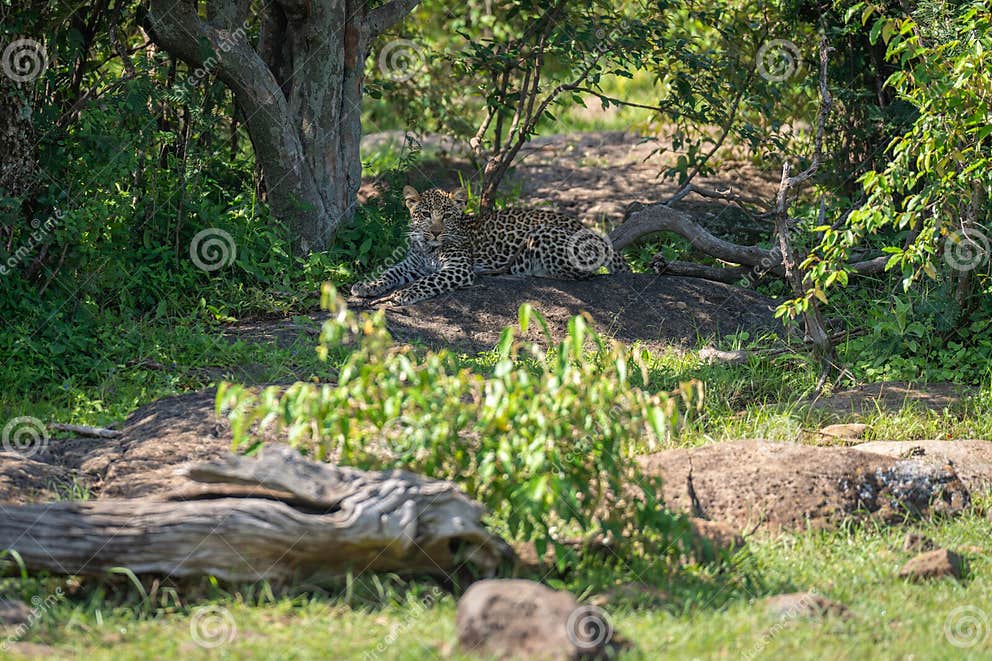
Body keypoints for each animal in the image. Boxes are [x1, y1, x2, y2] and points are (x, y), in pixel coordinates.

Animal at [351, 185, 627, 305]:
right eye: (426, 214)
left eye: (447, 216)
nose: (436, 232)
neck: (428, 248)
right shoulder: (411, 265)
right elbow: (388, 272)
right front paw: (366, 285)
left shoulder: (458, 269)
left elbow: (428, 280)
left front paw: (405, 293)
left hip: (544, 234)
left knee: (580, 274)